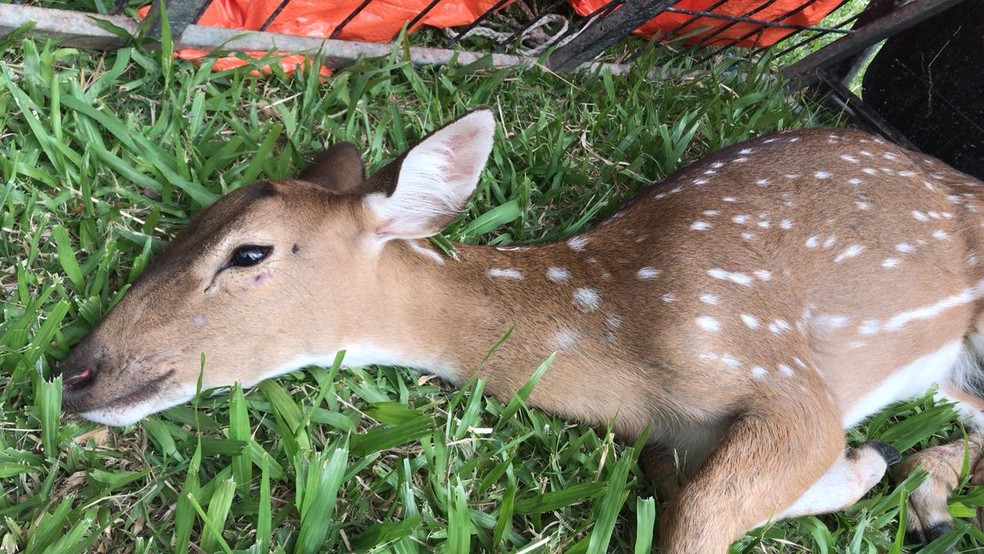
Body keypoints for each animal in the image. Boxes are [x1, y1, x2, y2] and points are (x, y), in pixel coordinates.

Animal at [58, 109, 984, 552]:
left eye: (248, 251)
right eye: (182, 228)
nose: (76, 372)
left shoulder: (774, 365)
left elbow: (699, 514)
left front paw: (860, 464)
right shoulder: (677, 437)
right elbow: (685, 485)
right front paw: (865, 466)